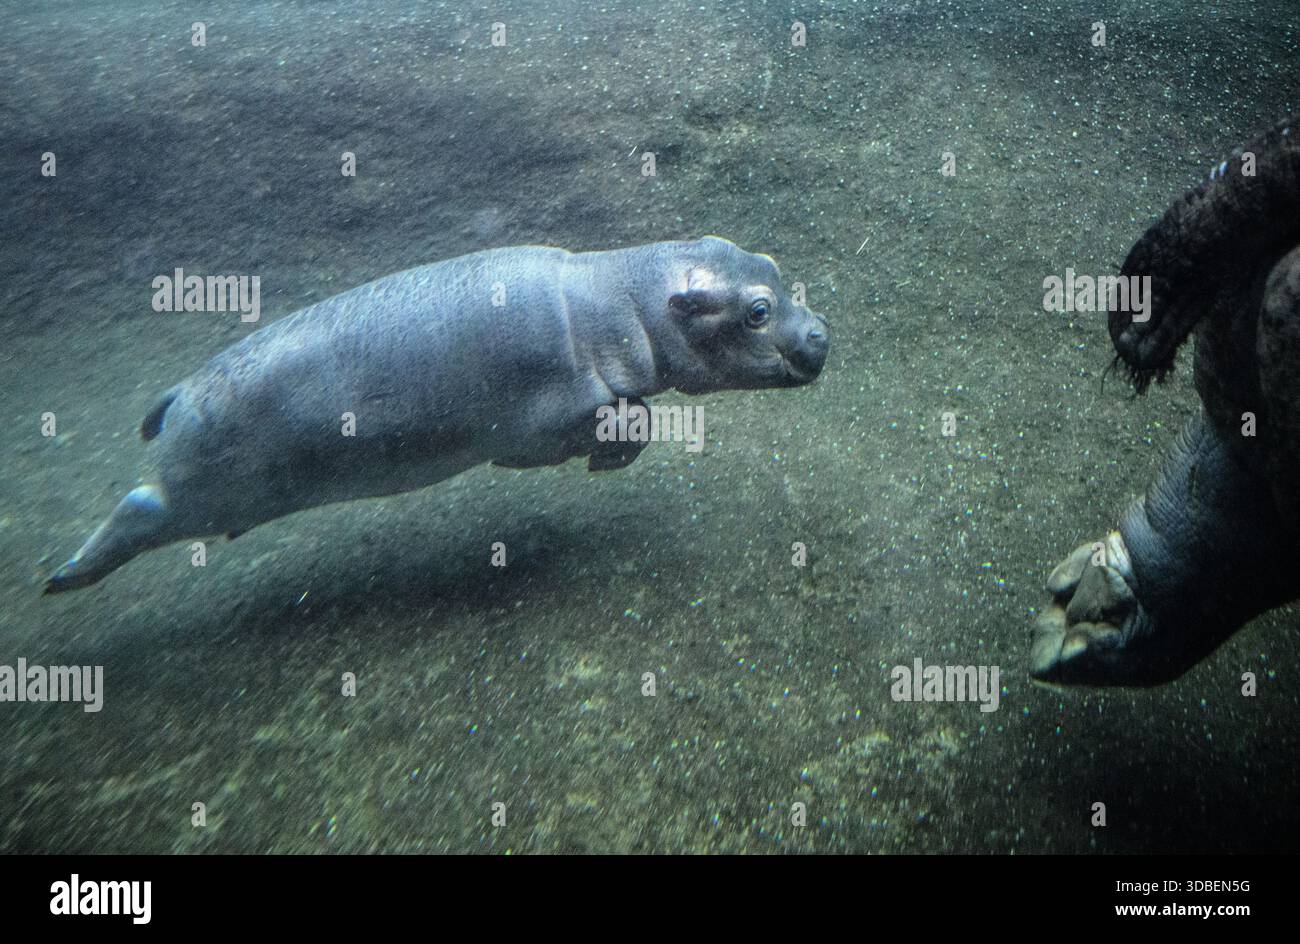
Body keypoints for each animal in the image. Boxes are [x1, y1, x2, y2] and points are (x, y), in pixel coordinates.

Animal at [44, 236, 829, 592]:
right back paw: (64, 577)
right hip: (197, 492)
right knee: (139, 506)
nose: (822, 332)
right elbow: (633, 418)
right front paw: (606, 459)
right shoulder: (554, 410)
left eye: (770, 265)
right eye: (758, 311)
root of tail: (177, 391)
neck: (622, 299)